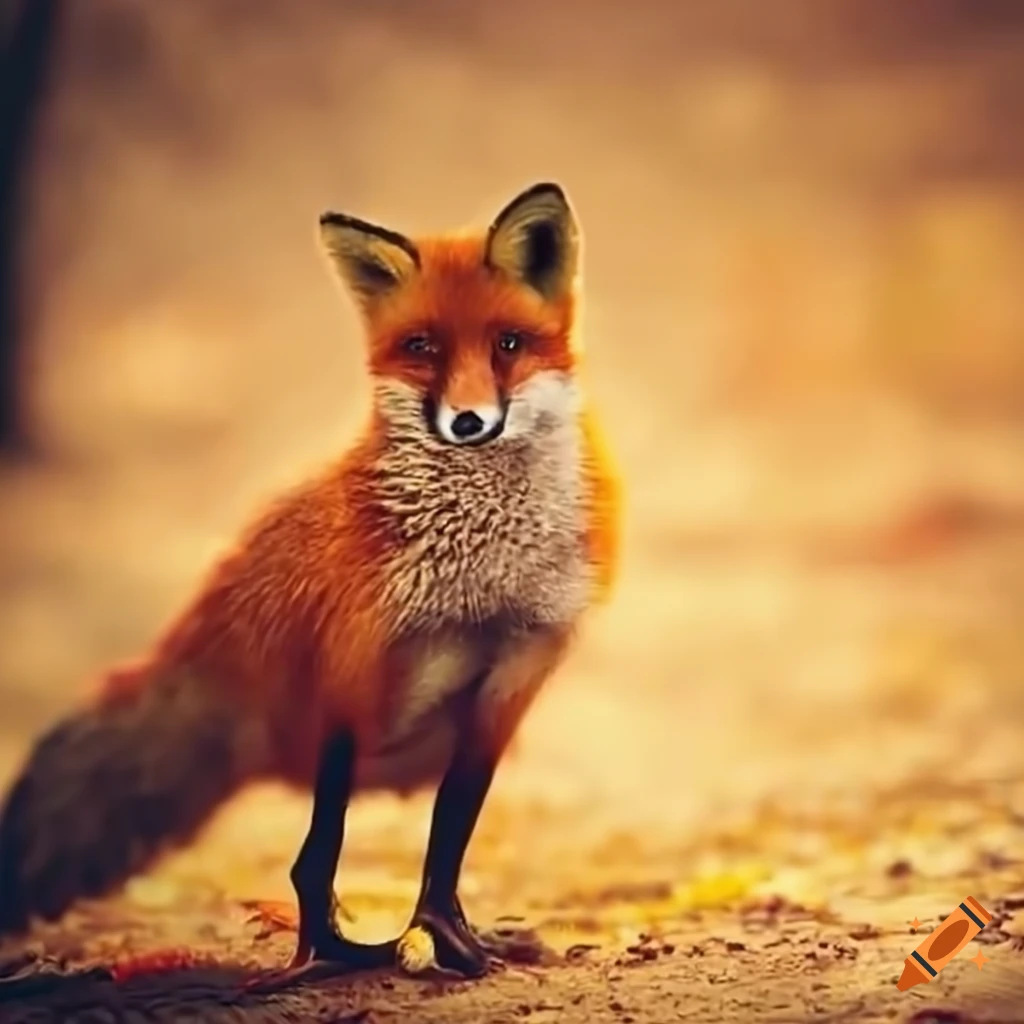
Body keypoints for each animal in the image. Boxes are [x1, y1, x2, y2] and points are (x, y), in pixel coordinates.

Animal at [0, 182, 619, 978]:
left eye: (508, 343)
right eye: (422, 347)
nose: (467, 421)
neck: (481, 574)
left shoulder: (508, 683)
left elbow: (449, 834)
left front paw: (452, 935)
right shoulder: (360, 674)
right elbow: (326, 849)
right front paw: (425, 944)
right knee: (308, 860)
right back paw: (335, 953)